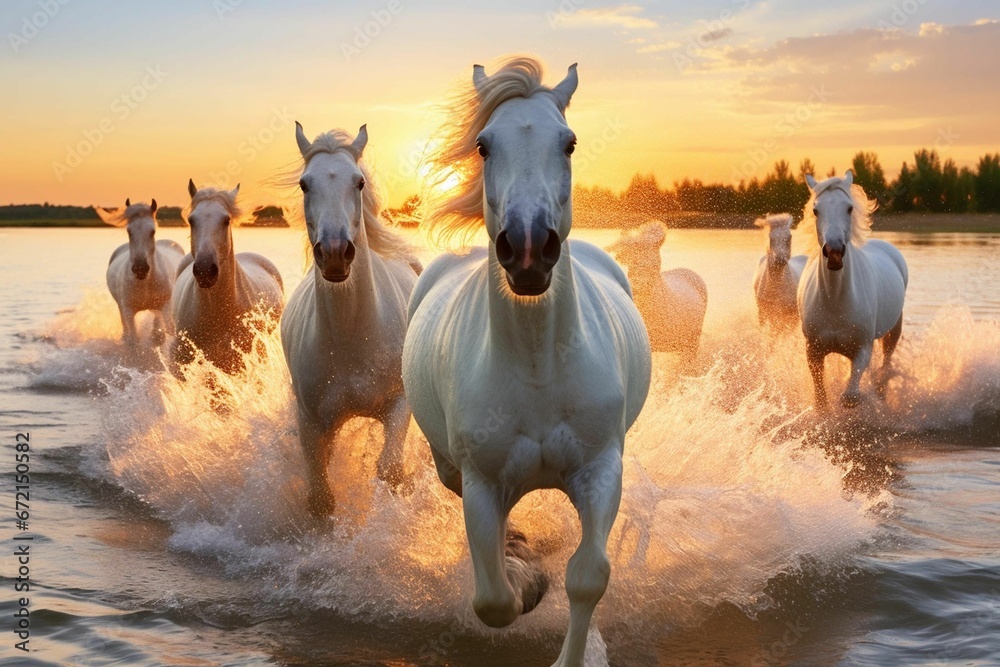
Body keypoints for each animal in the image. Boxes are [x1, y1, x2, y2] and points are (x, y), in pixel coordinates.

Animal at [96, 199, 185, 348]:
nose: (140, 269)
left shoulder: (164, 306)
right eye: (129, 231)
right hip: (121, 307)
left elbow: (162, 335)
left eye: (152, 231)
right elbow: (134, 340)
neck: (146, 282)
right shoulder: (128, 310)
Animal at [280, 123, 421, 516]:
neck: (349, 338)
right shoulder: (311, 424)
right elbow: (320, 496)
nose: (334, 254)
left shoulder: (399, 405)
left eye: (358, 182)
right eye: (305, 184)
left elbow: (389, 470)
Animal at [402, 57, 651, 667]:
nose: (529, 248)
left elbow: (588, 576)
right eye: (484, 144)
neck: (538, 367)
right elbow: (494, 598)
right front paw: (526, 577)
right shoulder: (481, 484)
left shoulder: (601, 469)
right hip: (451, 469)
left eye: (569, 142)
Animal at [797, 171, 908, 409]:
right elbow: (821, 399)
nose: (834, 252)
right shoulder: (813, 352)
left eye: (849, 208)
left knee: (886, 364)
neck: (835, 299)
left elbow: (850, 396)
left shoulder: (863, 349)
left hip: (894, 329)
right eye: (815, 210)